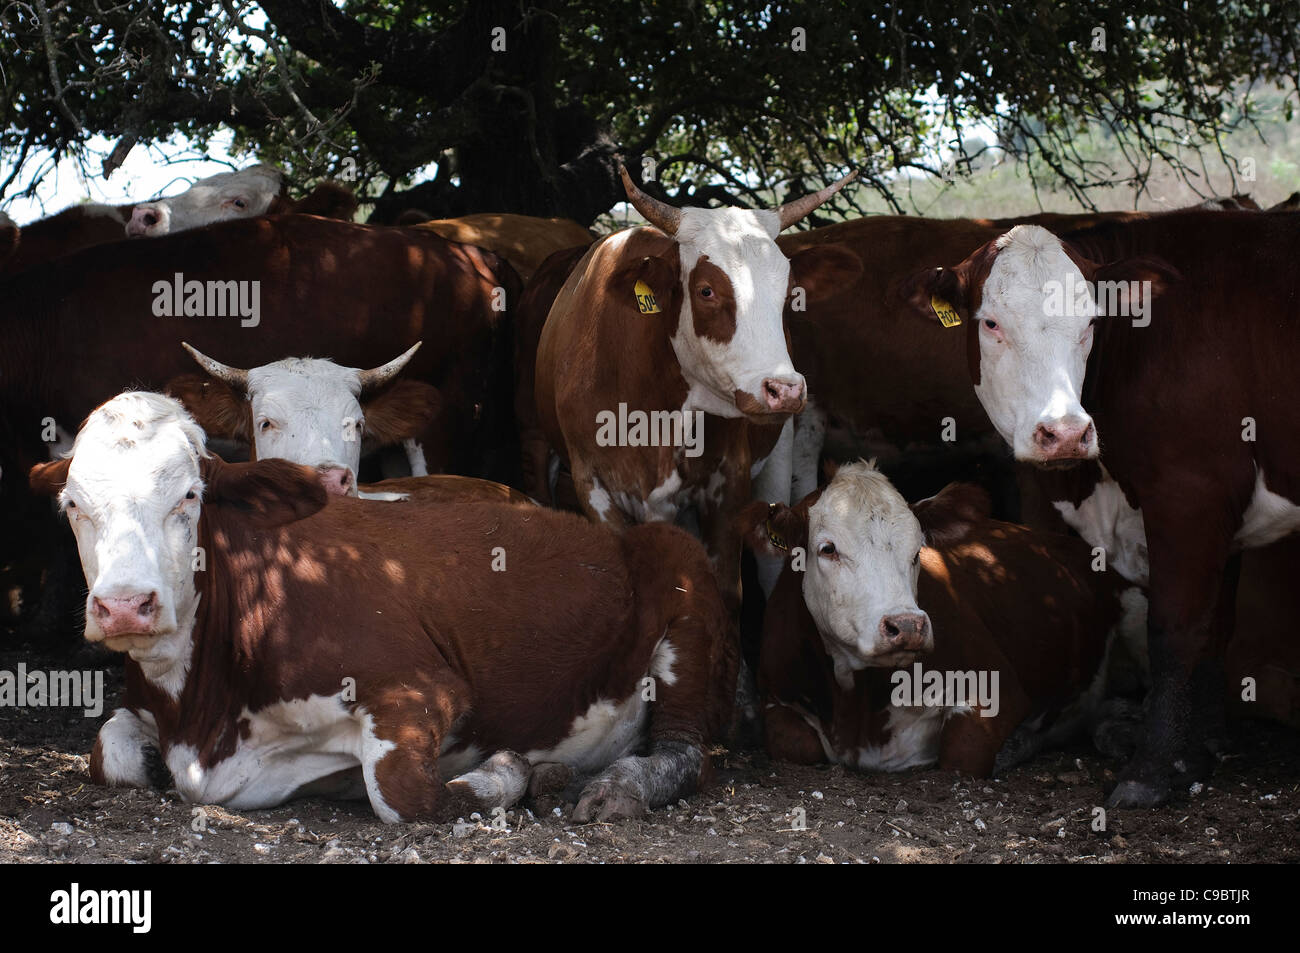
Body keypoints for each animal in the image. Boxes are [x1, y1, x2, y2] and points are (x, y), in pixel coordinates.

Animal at [30, 392, 738, 822]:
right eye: (73, 506)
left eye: (190, 495)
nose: (126, 606)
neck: (203, 717)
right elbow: (110, 749)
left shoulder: (421, 688)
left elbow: (402, 793)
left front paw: (507, 769)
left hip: (682, 572)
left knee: (687, 752)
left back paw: (613, 785)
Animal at [534, 166, 862, 610]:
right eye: (706, 290)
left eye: (790, 294)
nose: (785, 390)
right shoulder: (593, 488)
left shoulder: (728, 485)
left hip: (778, 452)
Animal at [739, 462, 1141, 775]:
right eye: (828, 549)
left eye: (917, 551)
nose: (907, 626)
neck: (858, 712)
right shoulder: (775, 695)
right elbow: (796, 745)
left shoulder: (998, 685)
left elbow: (962, 752)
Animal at [898, 209, 1300, 806]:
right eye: (991, 323)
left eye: (1090, 323)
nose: (1065, 432)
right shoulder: (1222, 507)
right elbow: (1214, 627)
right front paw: (1199, 751)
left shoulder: (1191, 492)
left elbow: (1177, 628)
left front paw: (1152, 771)